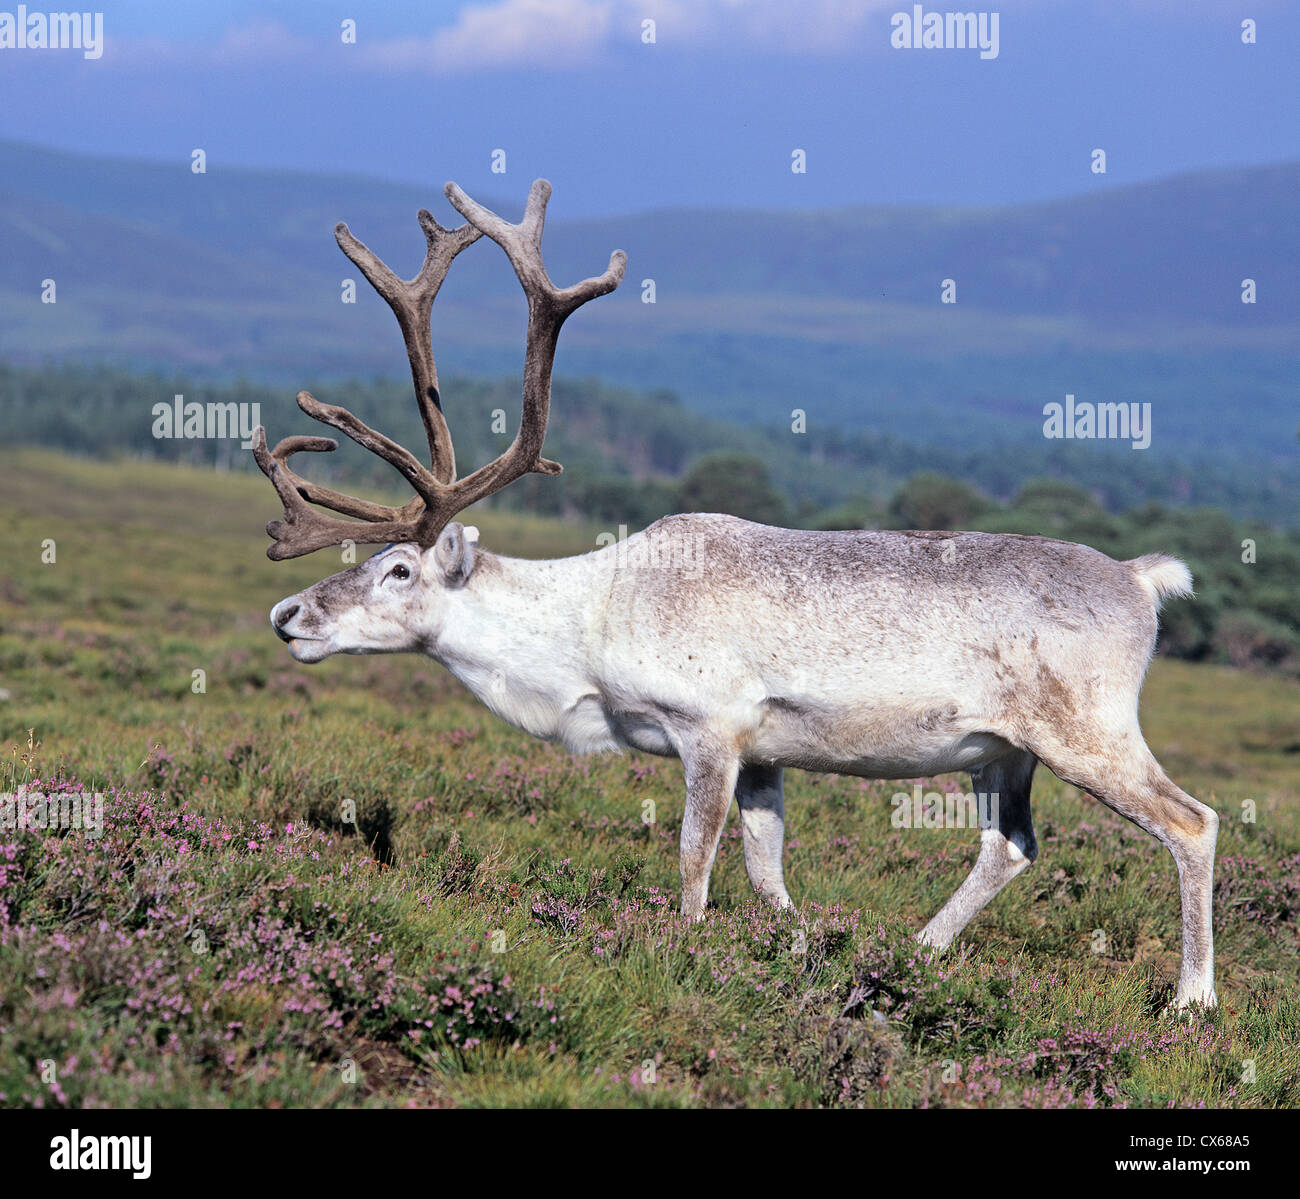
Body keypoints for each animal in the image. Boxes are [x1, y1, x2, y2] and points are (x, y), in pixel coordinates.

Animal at [253, 179, 1218, 1010]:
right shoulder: (765, 751)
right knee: (1010, 843)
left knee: (1191, 820)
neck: (586, 633)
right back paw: (915, 952)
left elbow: (694, 858)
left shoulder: (708, 726)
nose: (287, 615)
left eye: (399, 570)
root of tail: (1142, 580)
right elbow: (766, 868)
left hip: (1086, 729)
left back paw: (1190, 1001)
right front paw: (803, 947)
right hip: (1005, 748)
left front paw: (684, 951)